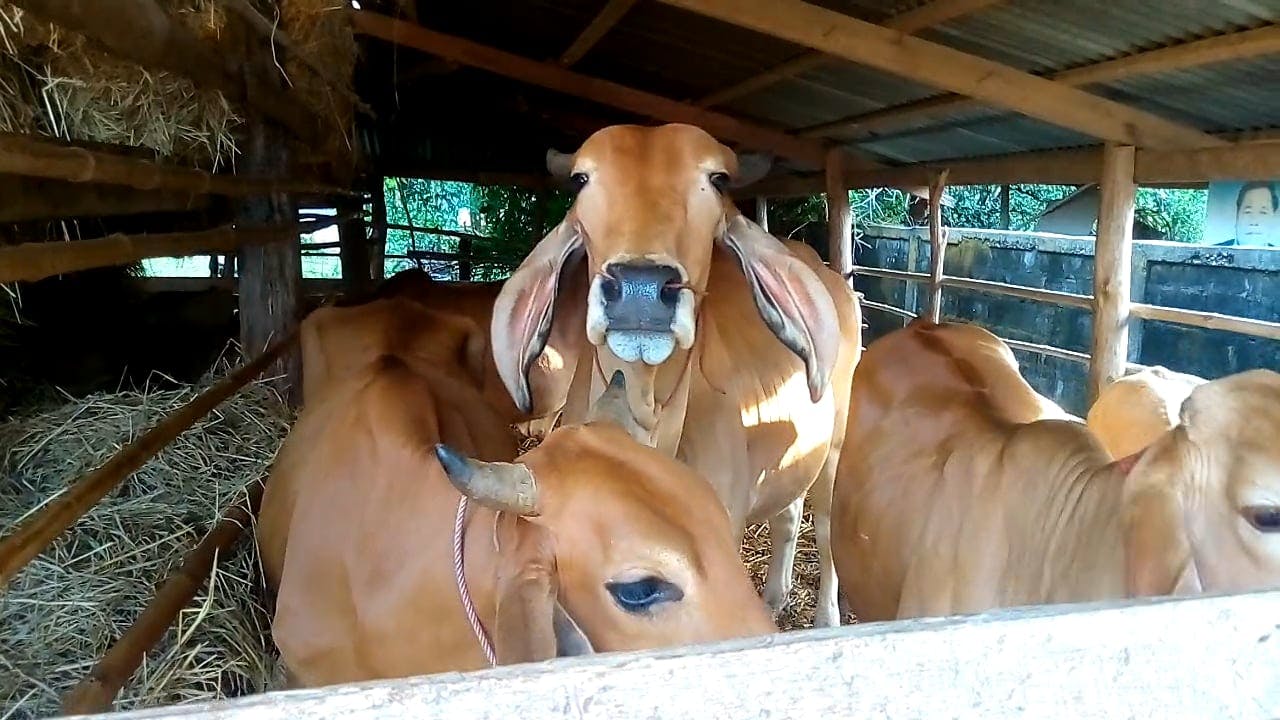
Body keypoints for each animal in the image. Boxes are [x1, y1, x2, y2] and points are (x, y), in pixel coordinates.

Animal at [491, 123, 862, 627]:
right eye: (581, 179)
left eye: (718, 180)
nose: (640, 289)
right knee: (788, 514)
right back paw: (775, 596)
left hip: (835, 446)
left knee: (824, 529)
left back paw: (824, 617)